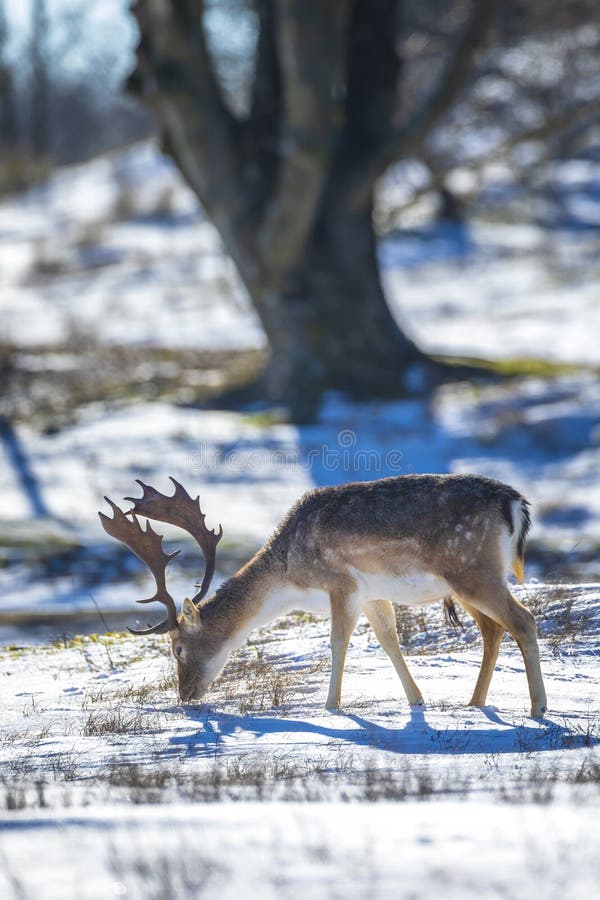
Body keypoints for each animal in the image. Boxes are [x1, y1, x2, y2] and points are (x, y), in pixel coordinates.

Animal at [99, 474, 547, 718]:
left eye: (176, 648)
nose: (185, 694)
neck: (291, 578)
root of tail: (516, 503)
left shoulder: (341, 583)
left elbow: (338, 642)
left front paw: (331, 707)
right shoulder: (371, 593)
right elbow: (389, 640)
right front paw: (417, 700)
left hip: (472, 570)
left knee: (523, 620)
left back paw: (538, 708)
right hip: (466, 581)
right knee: (494, 628)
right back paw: (475, 703)